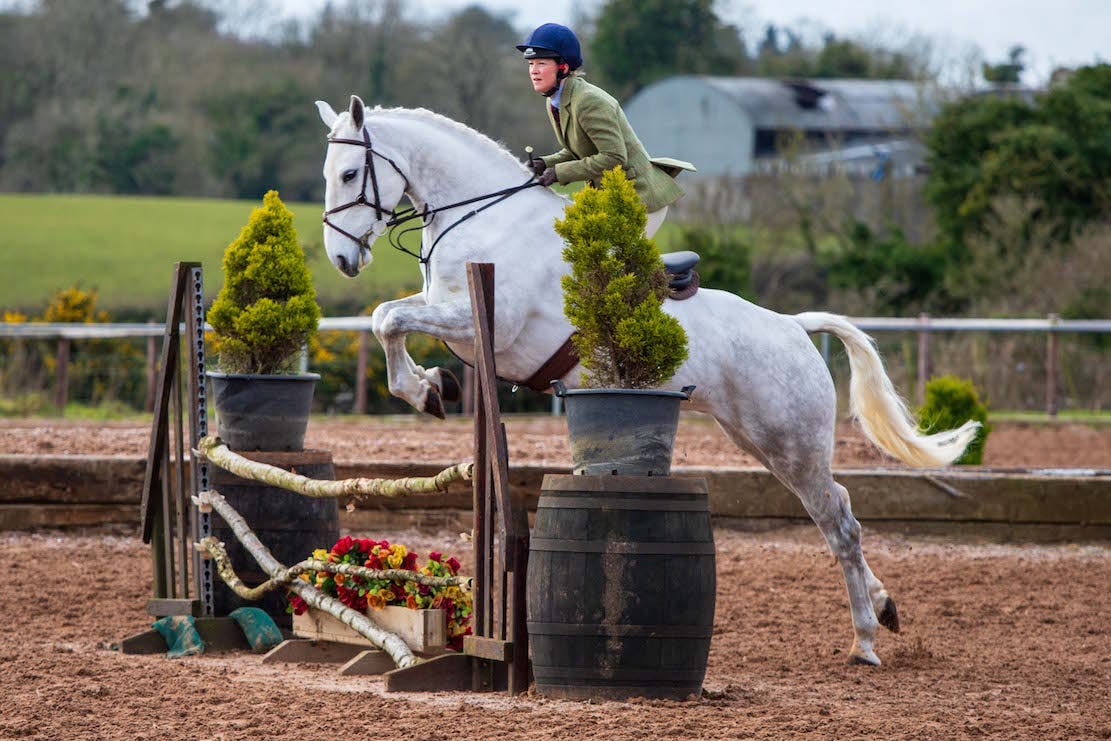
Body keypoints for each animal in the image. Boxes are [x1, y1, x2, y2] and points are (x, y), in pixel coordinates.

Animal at [314, 95, 980, 666]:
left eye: (348, 175)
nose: (343, 261)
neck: (484, 216)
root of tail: (793, 326)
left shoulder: (477, 323)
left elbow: (387, 317)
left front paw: (426, 389)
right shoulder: (455, 320)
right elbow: (387, 317)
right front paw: (433, 387)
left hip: (790, 441)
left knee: (839, 521)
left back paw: (865, 640)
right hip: (758, 439)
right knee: (836, 510)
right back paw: (885, 609)